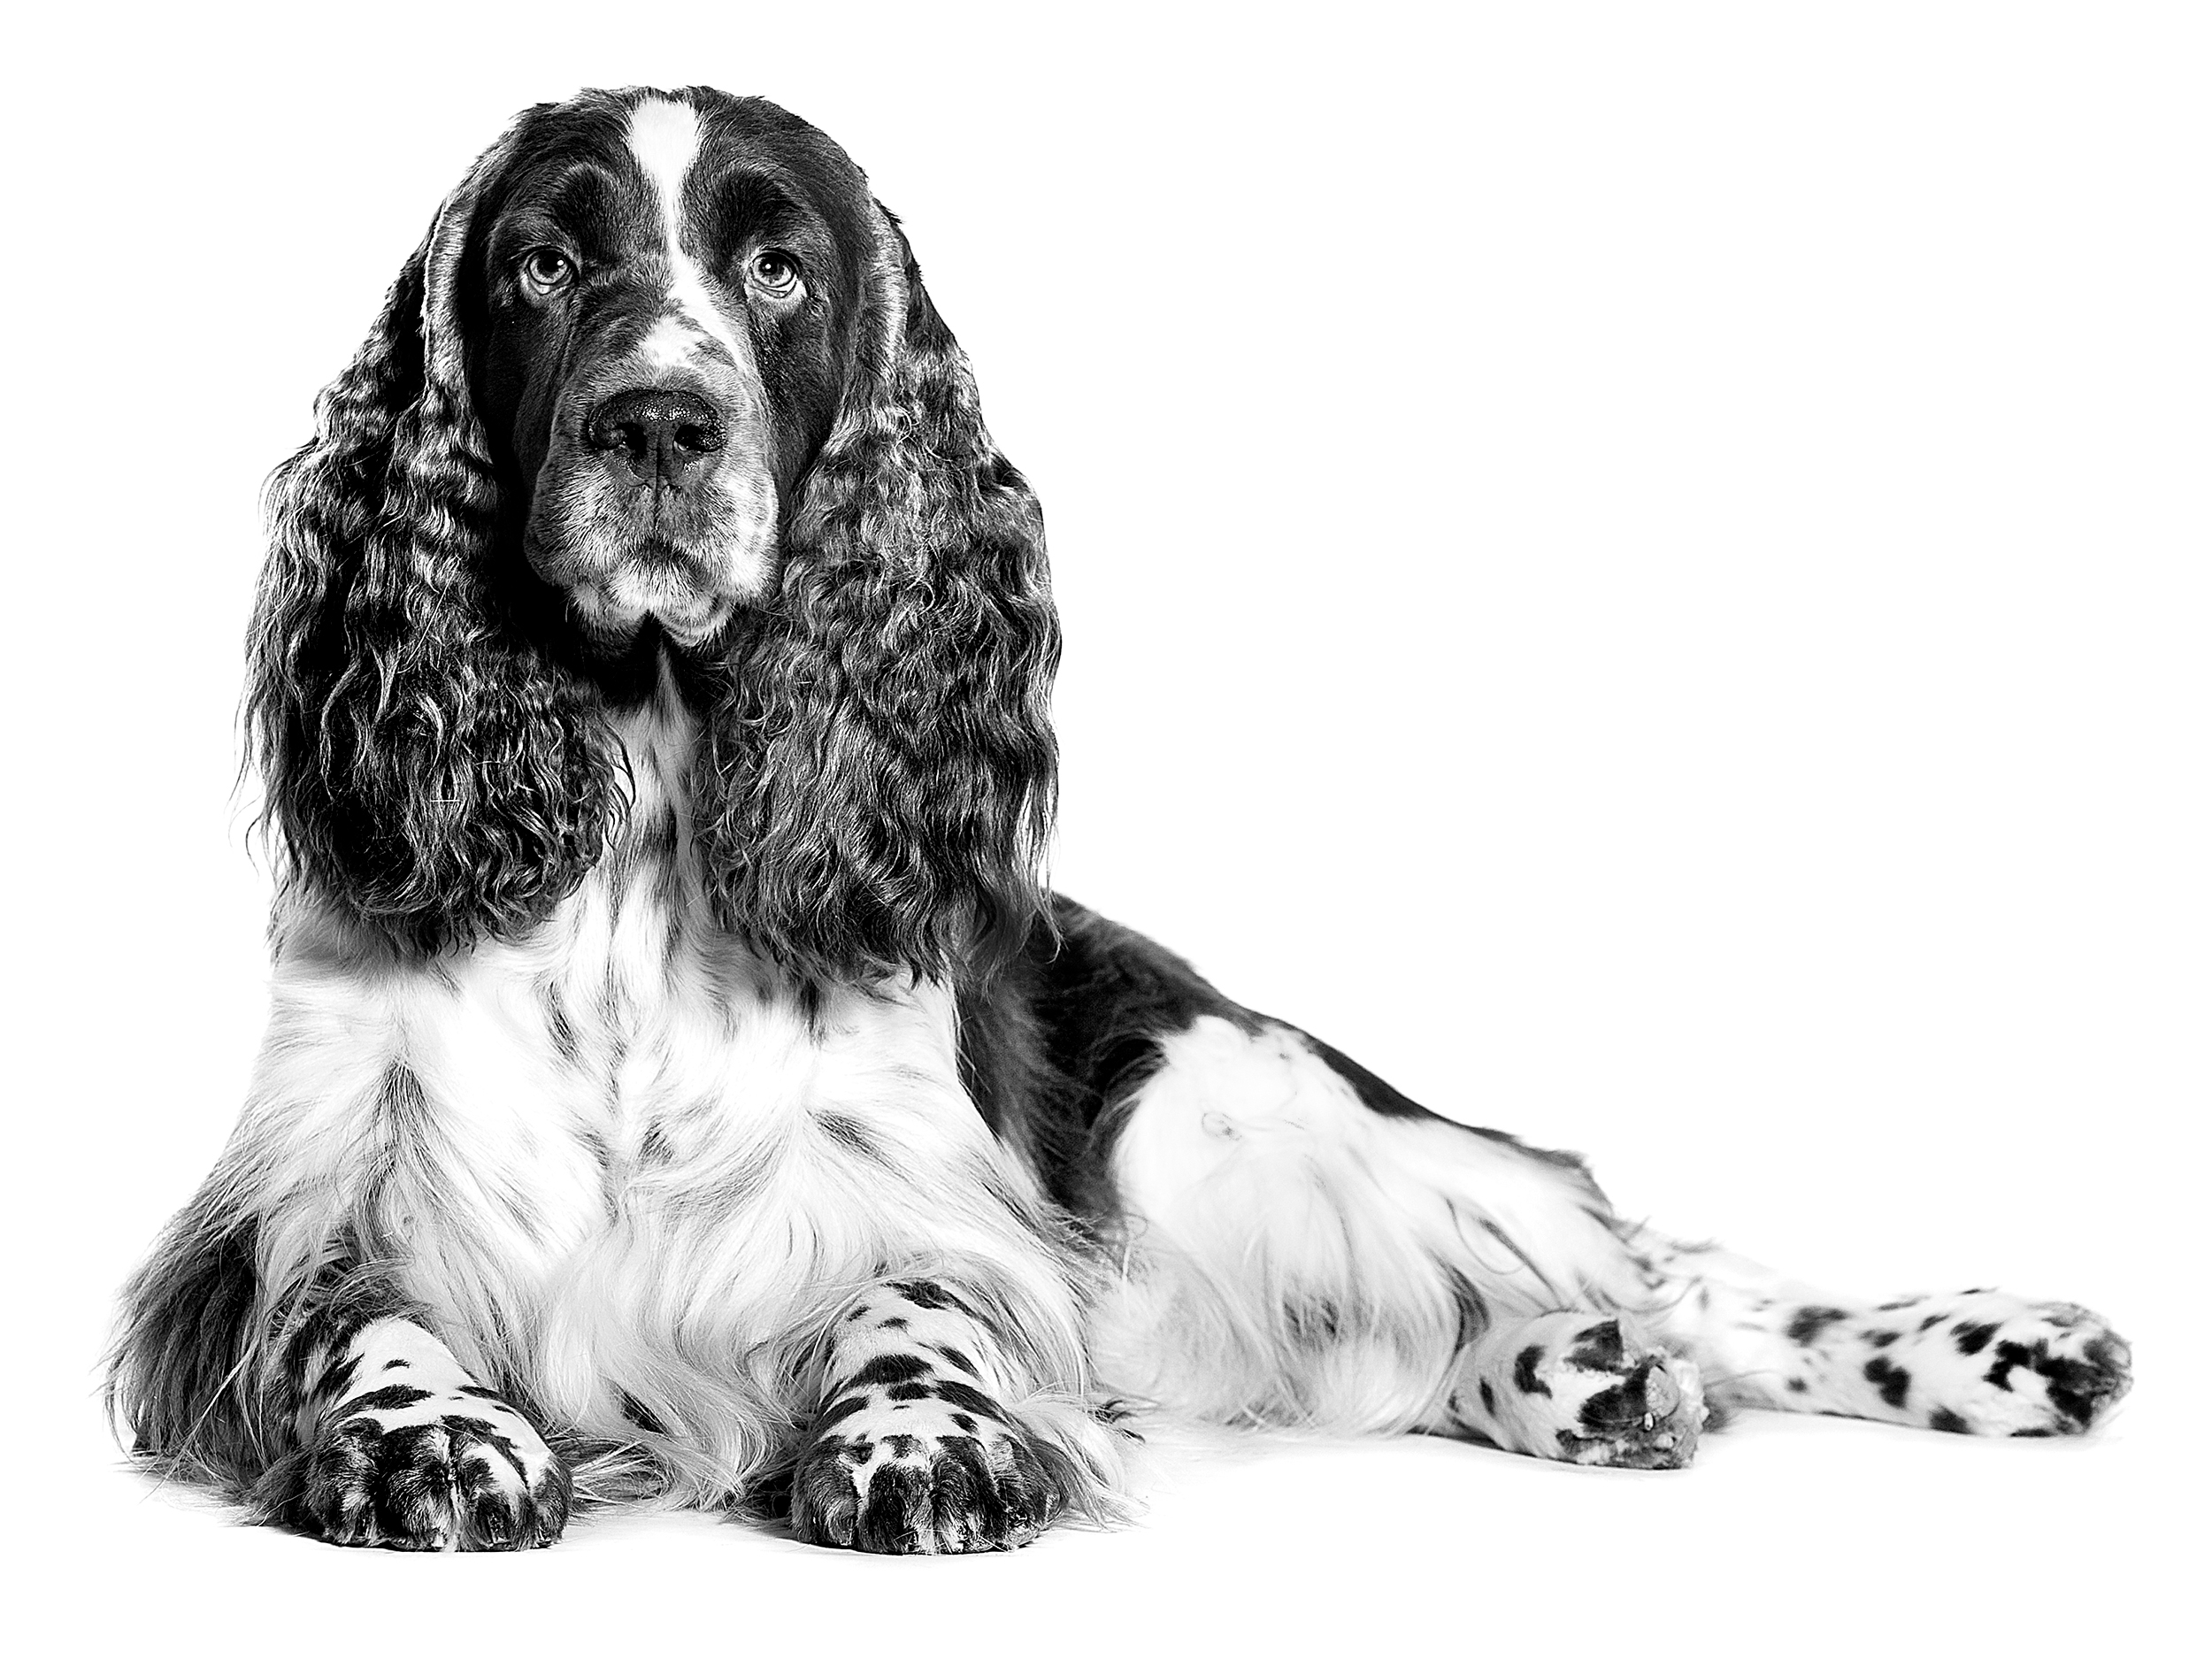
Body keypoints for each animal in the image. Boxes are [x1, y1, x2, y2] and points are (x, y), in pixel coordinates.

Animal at [111, 84, 2132, 1557]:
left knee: (1636, 1242)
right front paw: (426, 1430)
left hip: (1225, 1120)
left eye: (781, 271)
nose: (657, 424)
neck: (645, 820)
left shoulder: (941, 1196)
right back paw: (1585, 1376)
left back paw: (1983, 1342)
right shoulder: (304, 1199)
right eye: (536, 262)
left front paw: (917, 1433)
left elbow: (924, 1298)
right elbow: (352, 1309)